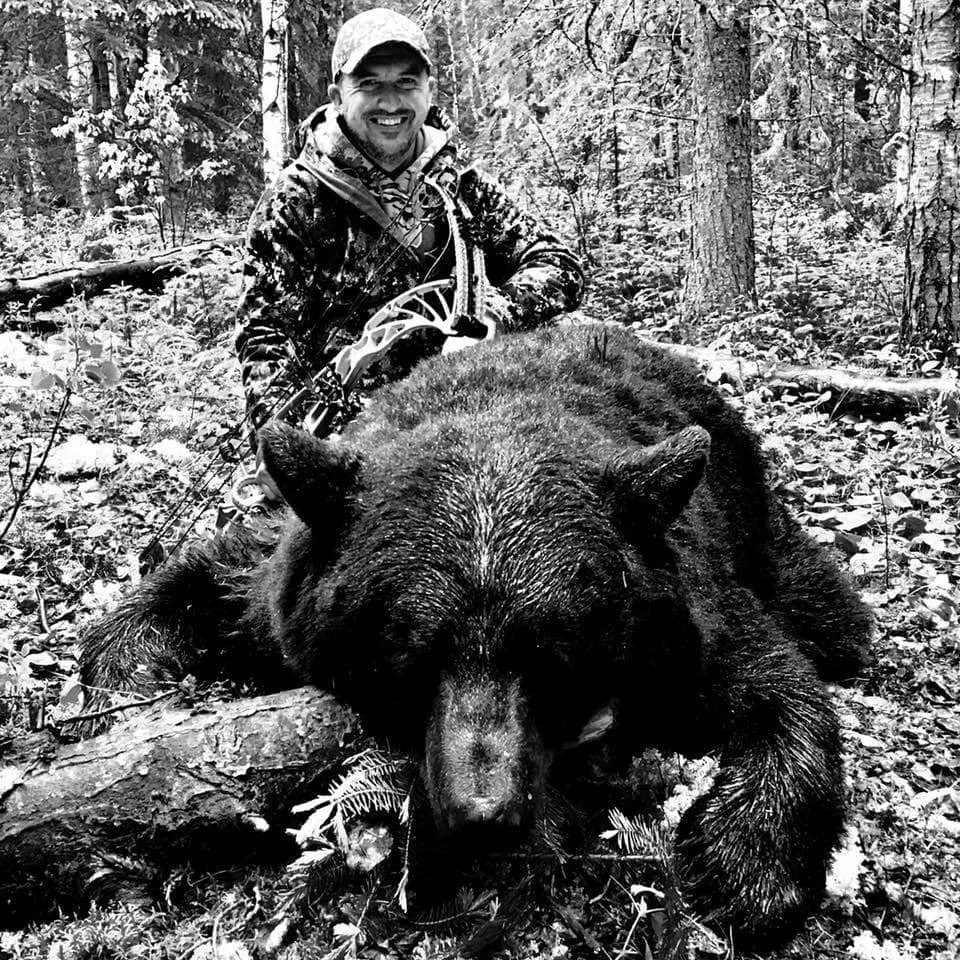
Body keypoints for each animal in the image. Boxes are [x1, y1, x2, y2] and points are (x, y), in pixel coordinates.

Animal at [79, 325, 873, 946]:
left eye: (553, 658)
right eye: (409, 655)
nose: (482, 814)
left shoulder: (680, 615)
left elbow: (777, 688)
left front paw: (751, 868)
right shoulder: (286, 582)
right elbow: (217, 579)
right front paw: (131, 677)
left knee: (832, 614)